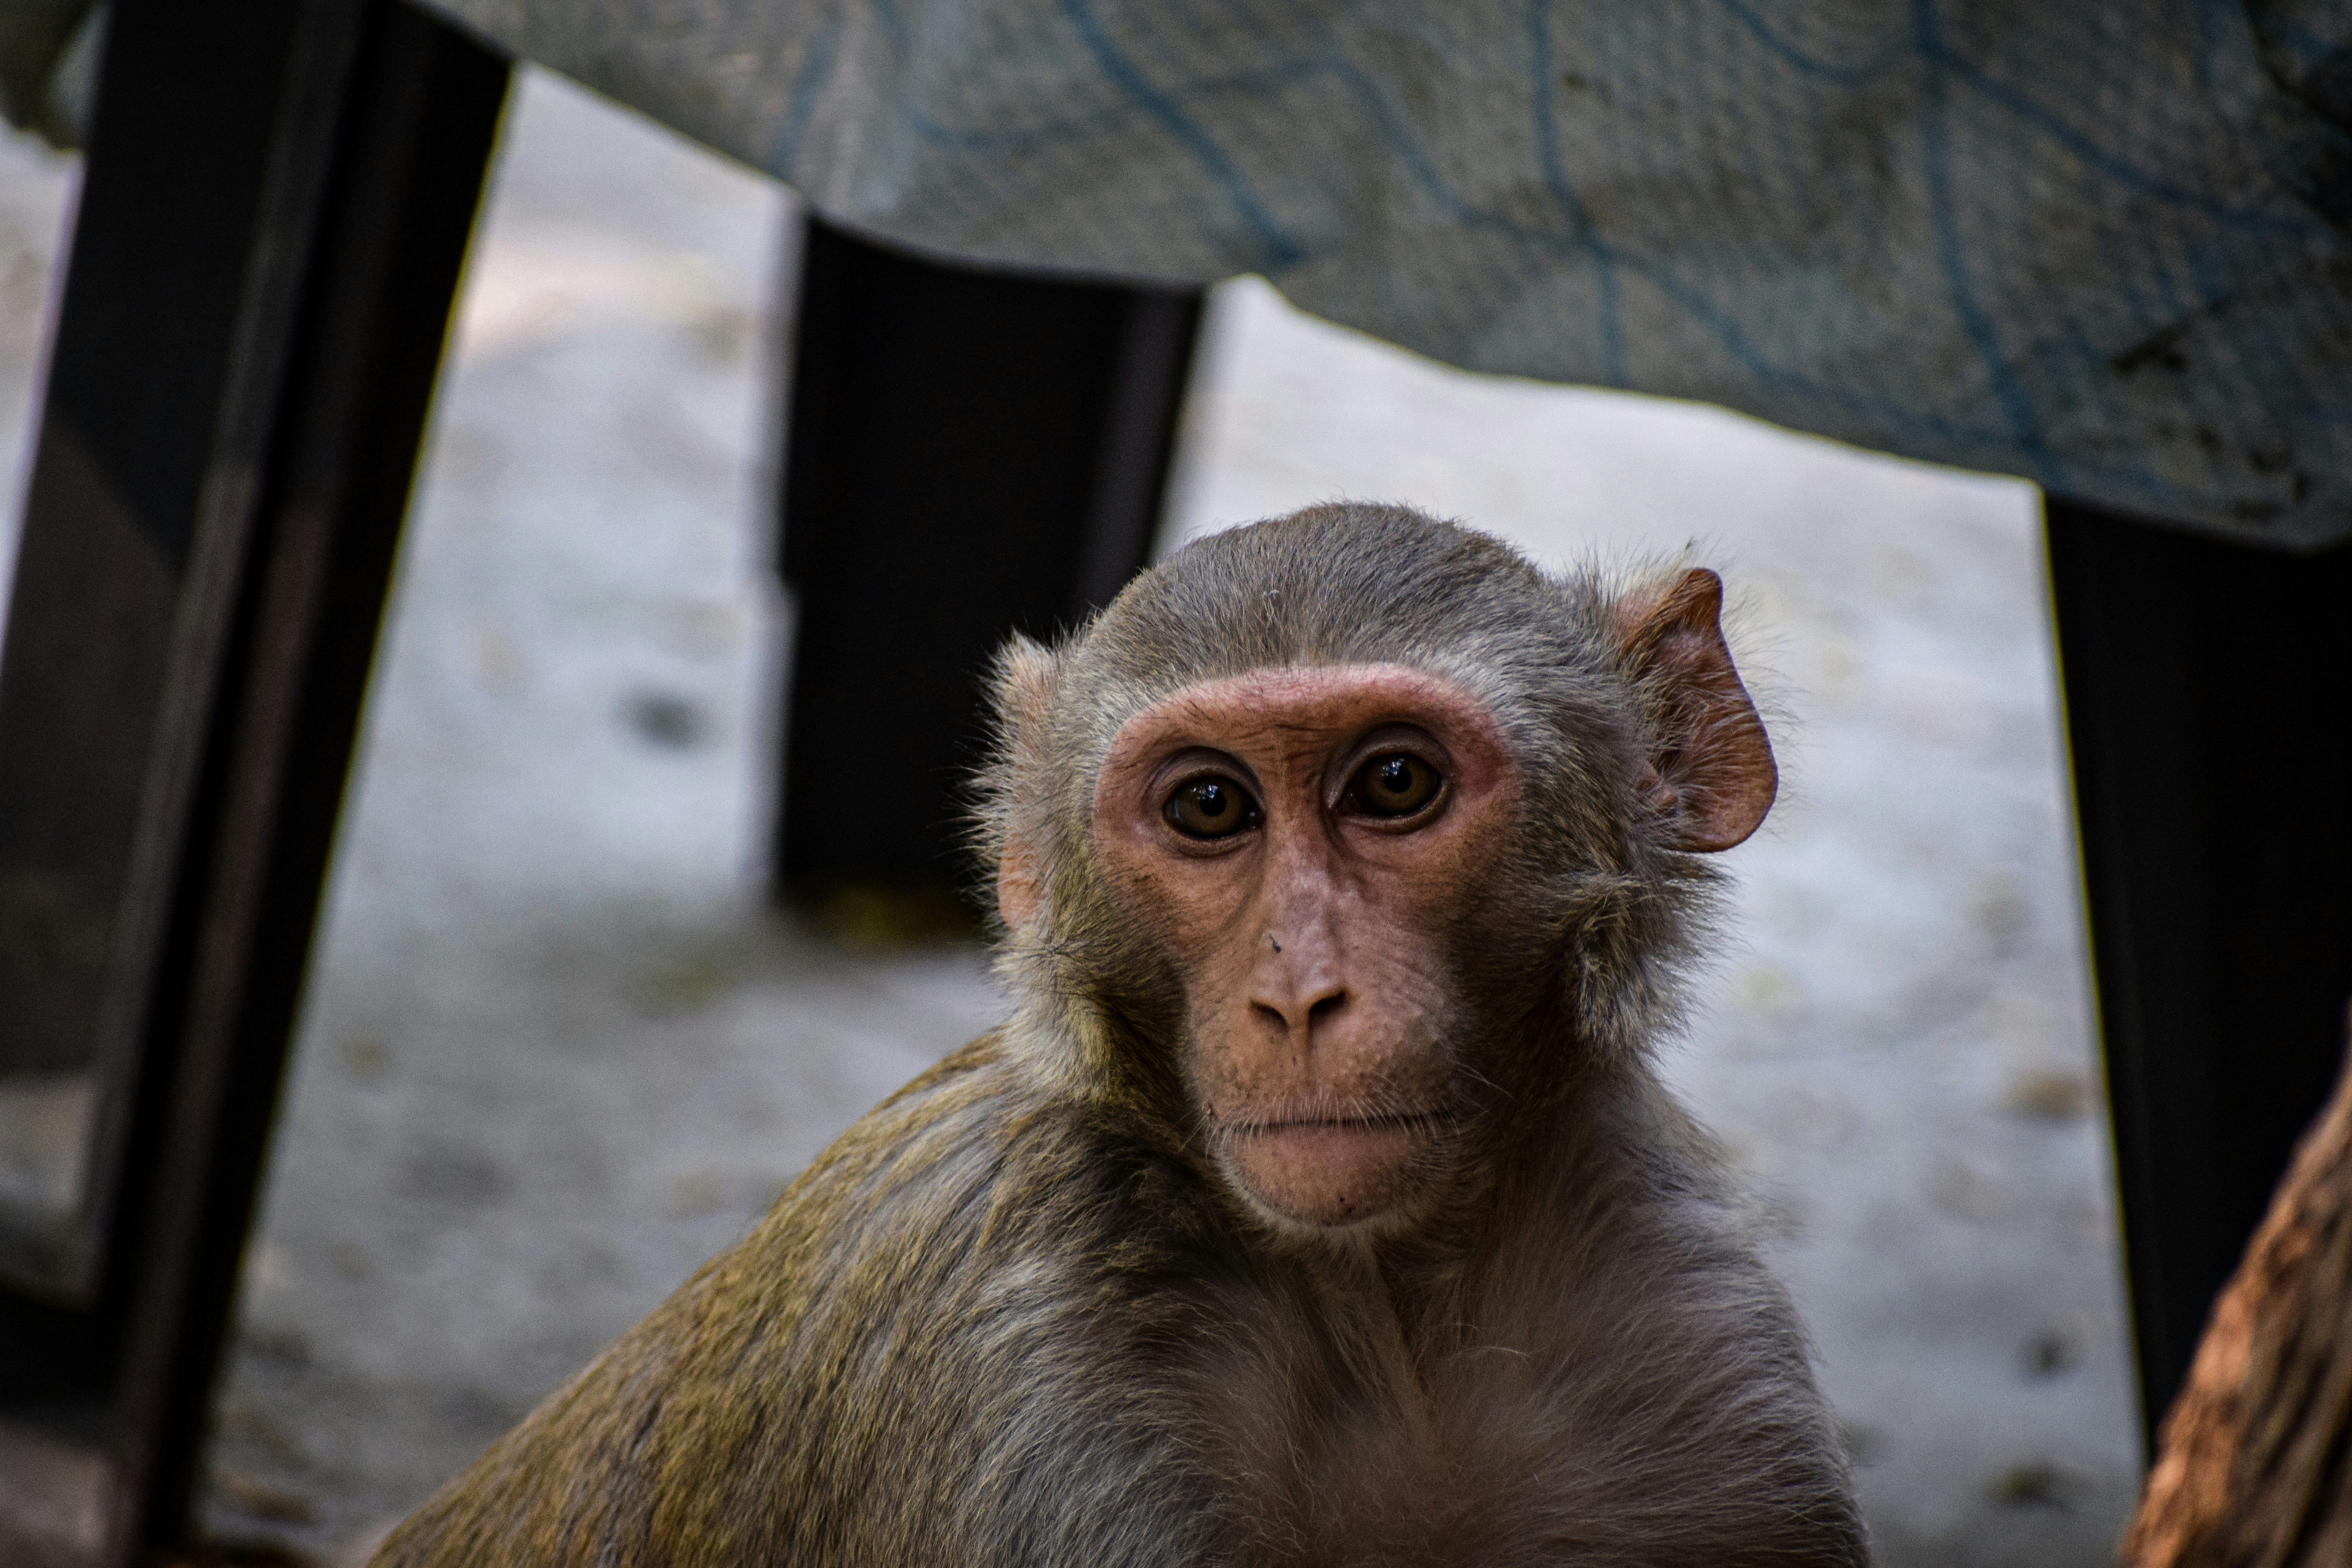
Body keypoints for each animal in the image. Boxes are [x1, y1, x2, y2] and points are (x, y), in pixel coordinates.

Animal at [370, 503, 1867, 1566]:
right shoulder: (1028, 1394)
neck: (1391, 1311)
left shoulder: (1694, 1341)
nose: (1297, 995)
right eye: (1210, 807)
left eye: (1393, 782)